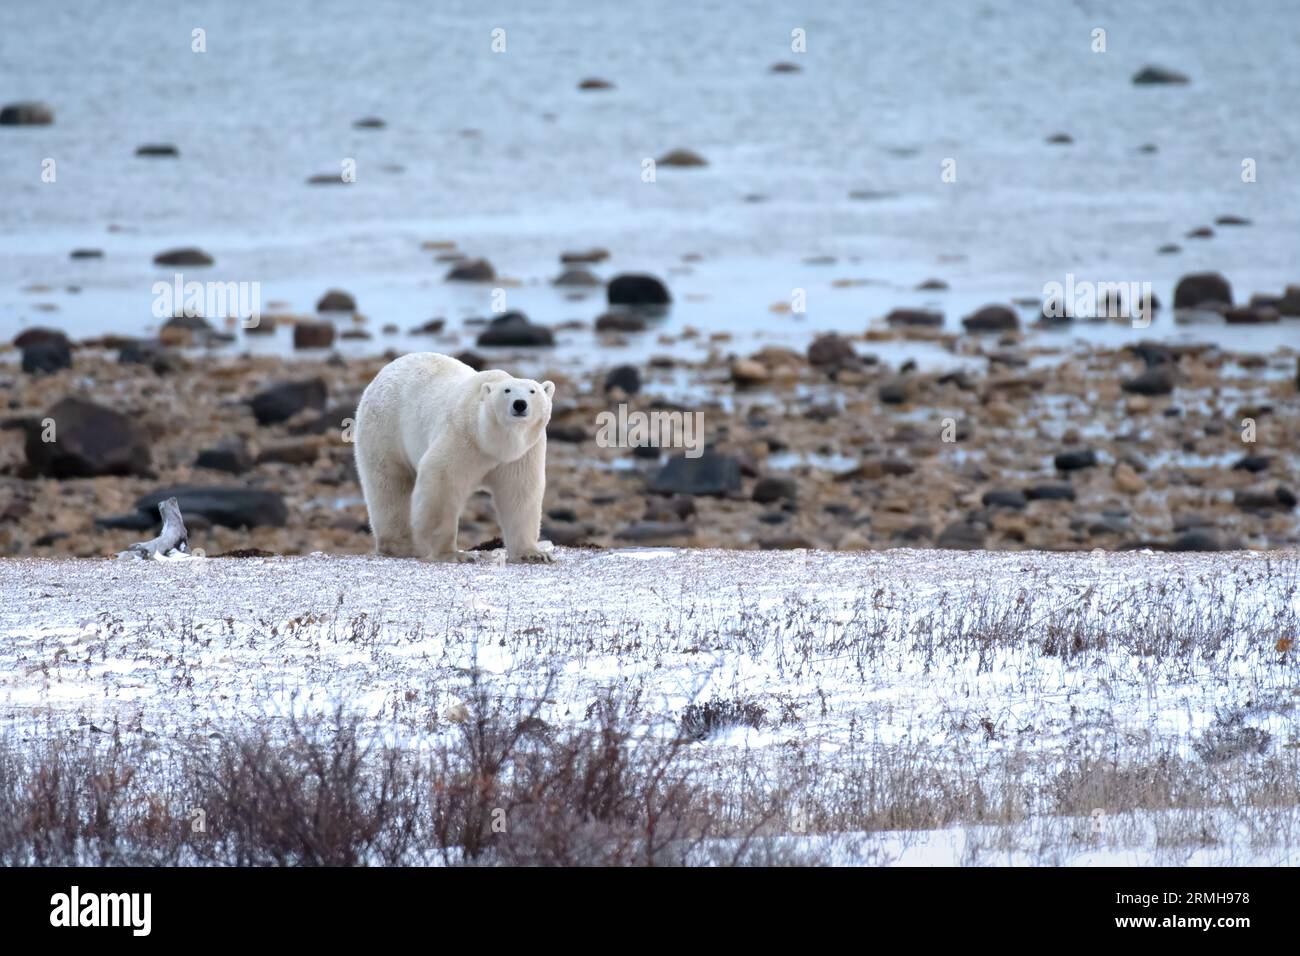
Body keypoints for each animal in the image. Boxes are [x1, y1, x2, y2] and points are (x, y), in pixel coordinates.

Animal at [353, 352, 555, 563]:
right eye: (507, 390)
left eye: (532, 391)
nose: (520, 404)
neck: (491, 442)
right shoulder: (462, 437)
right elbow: (442, 484)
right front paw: (453, 554)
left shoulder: (522, 454)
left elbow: (519, 492)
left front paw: (533, 554)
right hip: (385, 431)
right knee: (390, 486)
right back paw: (402, 546)